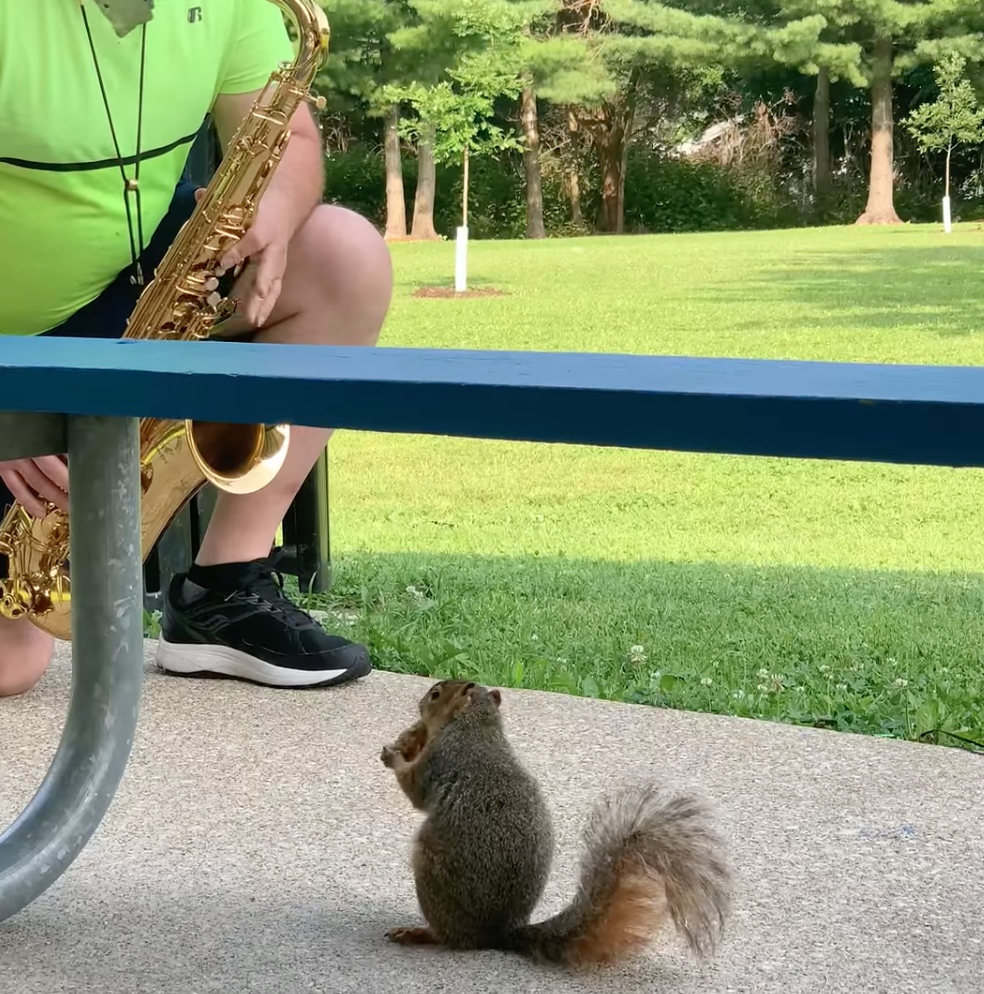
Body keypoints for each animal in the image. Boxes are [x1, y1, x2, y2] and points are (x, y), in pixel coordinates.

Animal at [380, 679, 732, 968]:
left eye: (436, 694)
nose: (419, 704)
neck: (477, 724)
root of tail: (499, 933)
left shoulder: (441, 758)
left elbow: (415, 788)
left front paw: (395, 754)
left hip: (433, 871)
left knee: (456, 939)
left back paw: (420, 933)